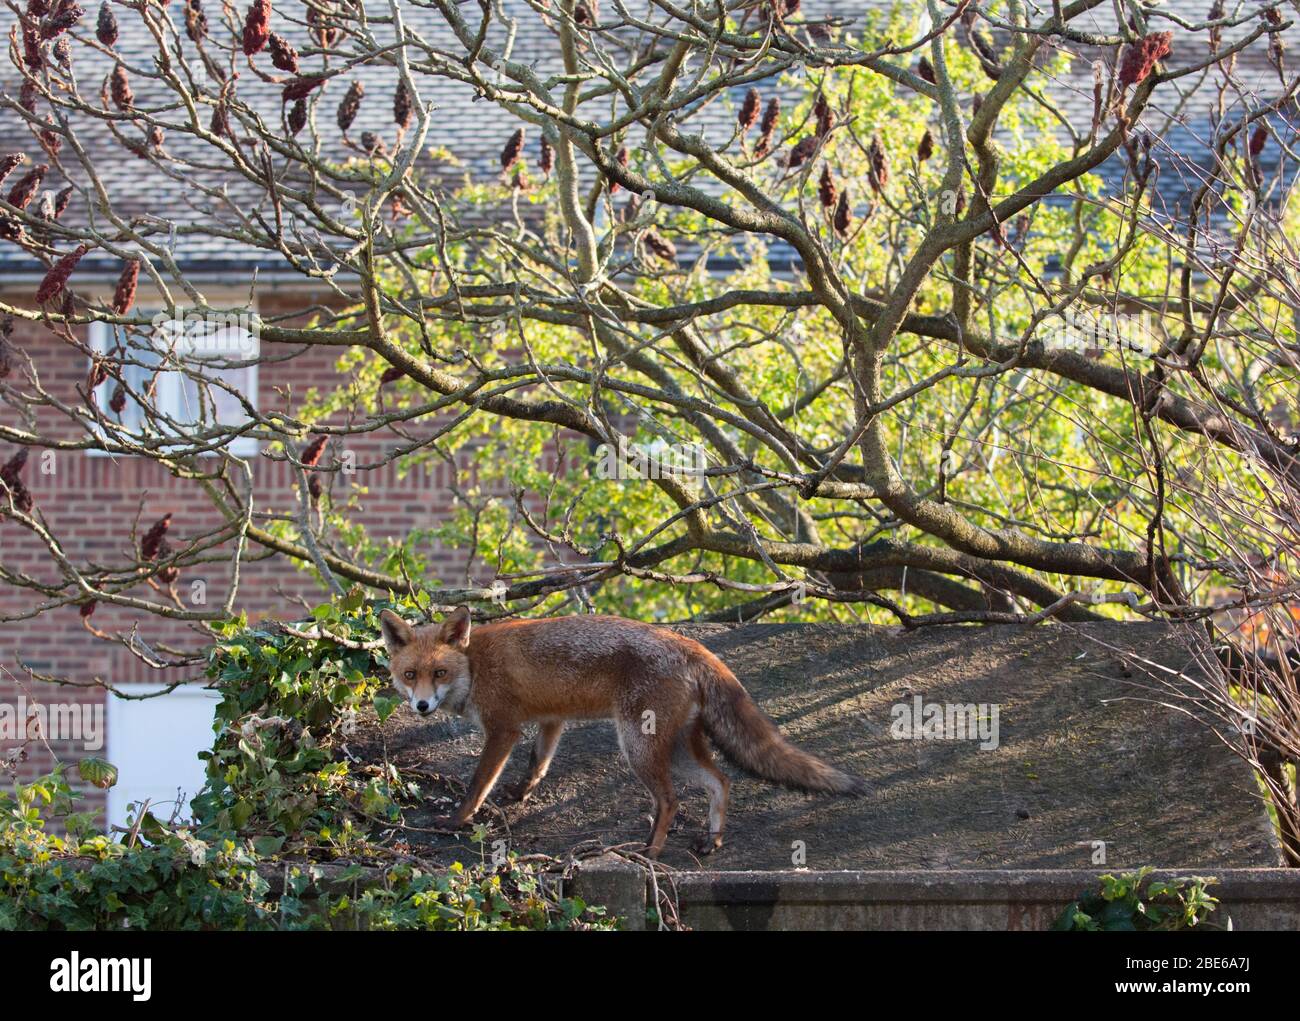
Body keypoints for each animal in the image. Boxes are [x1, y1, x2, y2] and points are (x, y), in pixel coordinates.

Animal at [378, 607, 866, 857]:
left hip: (638, 746)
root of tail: (692, 645)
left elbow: (478, 783)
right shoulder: (551, 719)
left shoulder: (503, 728)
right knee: (721, 781)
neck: (475, 665)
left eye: (439, 673)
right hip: (676, 748)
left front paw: (457, 821)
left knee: (671, 800)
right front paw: (521, 793)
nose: (421, 706)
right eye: (410, 675)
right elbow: (539, 763)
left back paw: (649, 851)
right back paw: (711, 839)